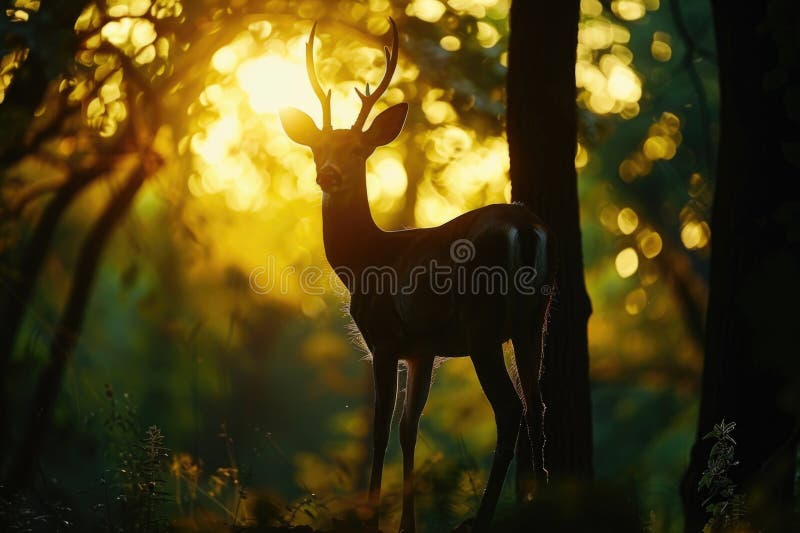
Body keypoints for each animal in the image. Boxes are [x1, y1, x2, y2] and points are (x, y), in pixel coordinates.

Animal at [278, 18, 554, 533]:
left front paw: (370, 517)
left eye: (358, 149)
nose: (328, 174)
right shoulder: (424, 350)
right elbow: (410, 428)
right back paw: (541, 503)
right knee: (537, 402)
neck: (363, 261)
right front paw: (407, 521)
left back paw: (482, 517)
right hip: (536, 318)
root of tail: (525, 229)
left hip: (483, 323)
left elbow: (380, 429)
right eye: (318, 148)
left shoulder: (386, 339)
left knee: (510, 410)